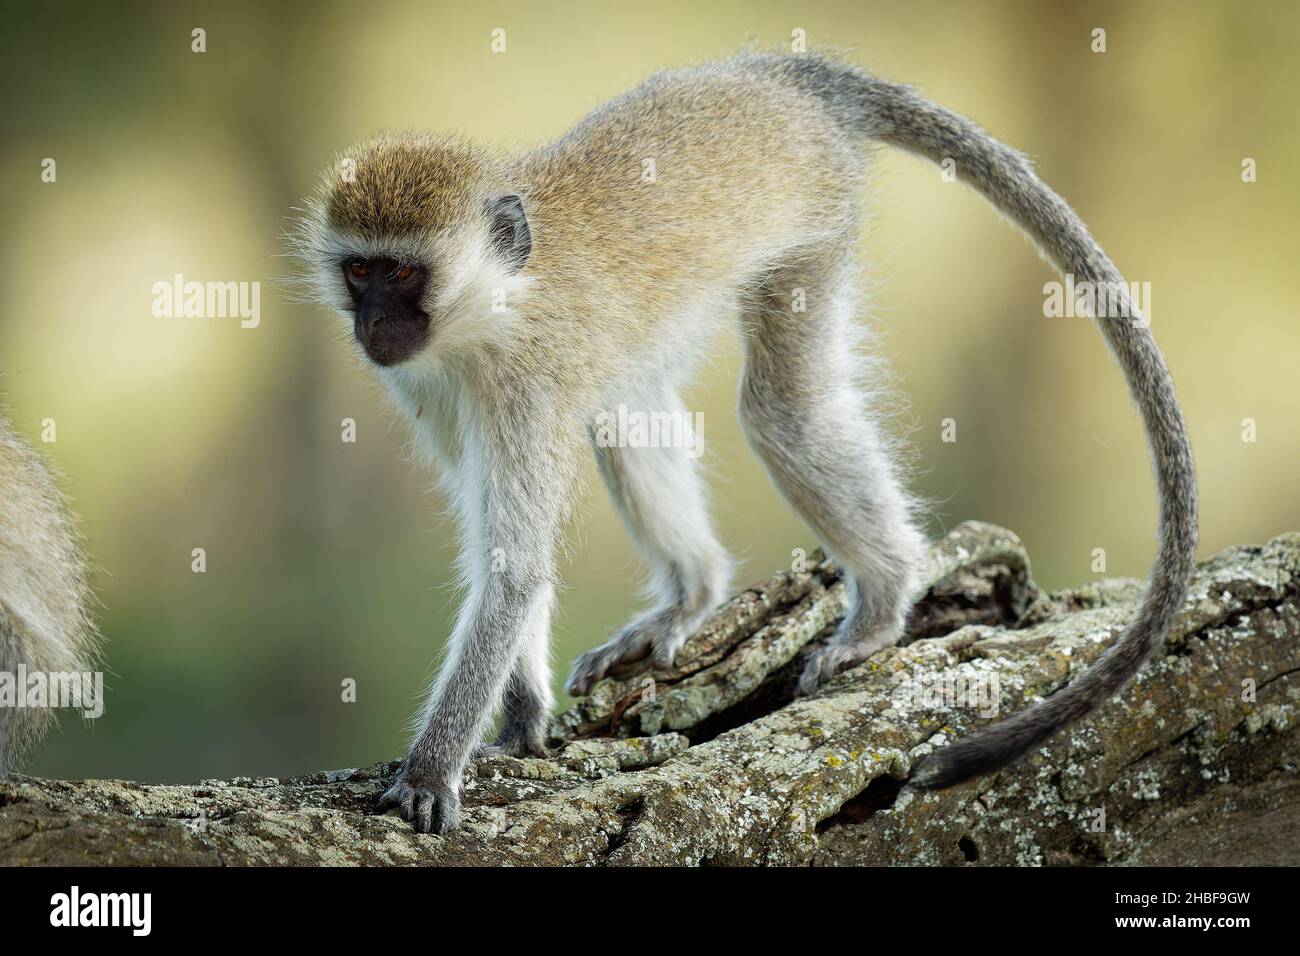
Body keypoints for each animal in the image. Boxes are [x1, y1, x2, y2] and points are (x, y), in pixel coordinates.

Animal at [293, 51, 1196, 834]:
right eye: (361, 273)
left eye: (404, 275)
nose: (373, 329)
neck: (496, 308)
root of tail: (774, 75)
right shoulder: (431, 389)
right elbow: (504, 552)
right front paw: (521, 718)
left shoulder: (524, 385)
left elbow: (512, 571)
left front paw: (430, 771)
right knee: (631, 408)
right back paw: (692, 595)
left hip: (815, 217)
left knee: (781, 409)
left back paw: (883, 601)